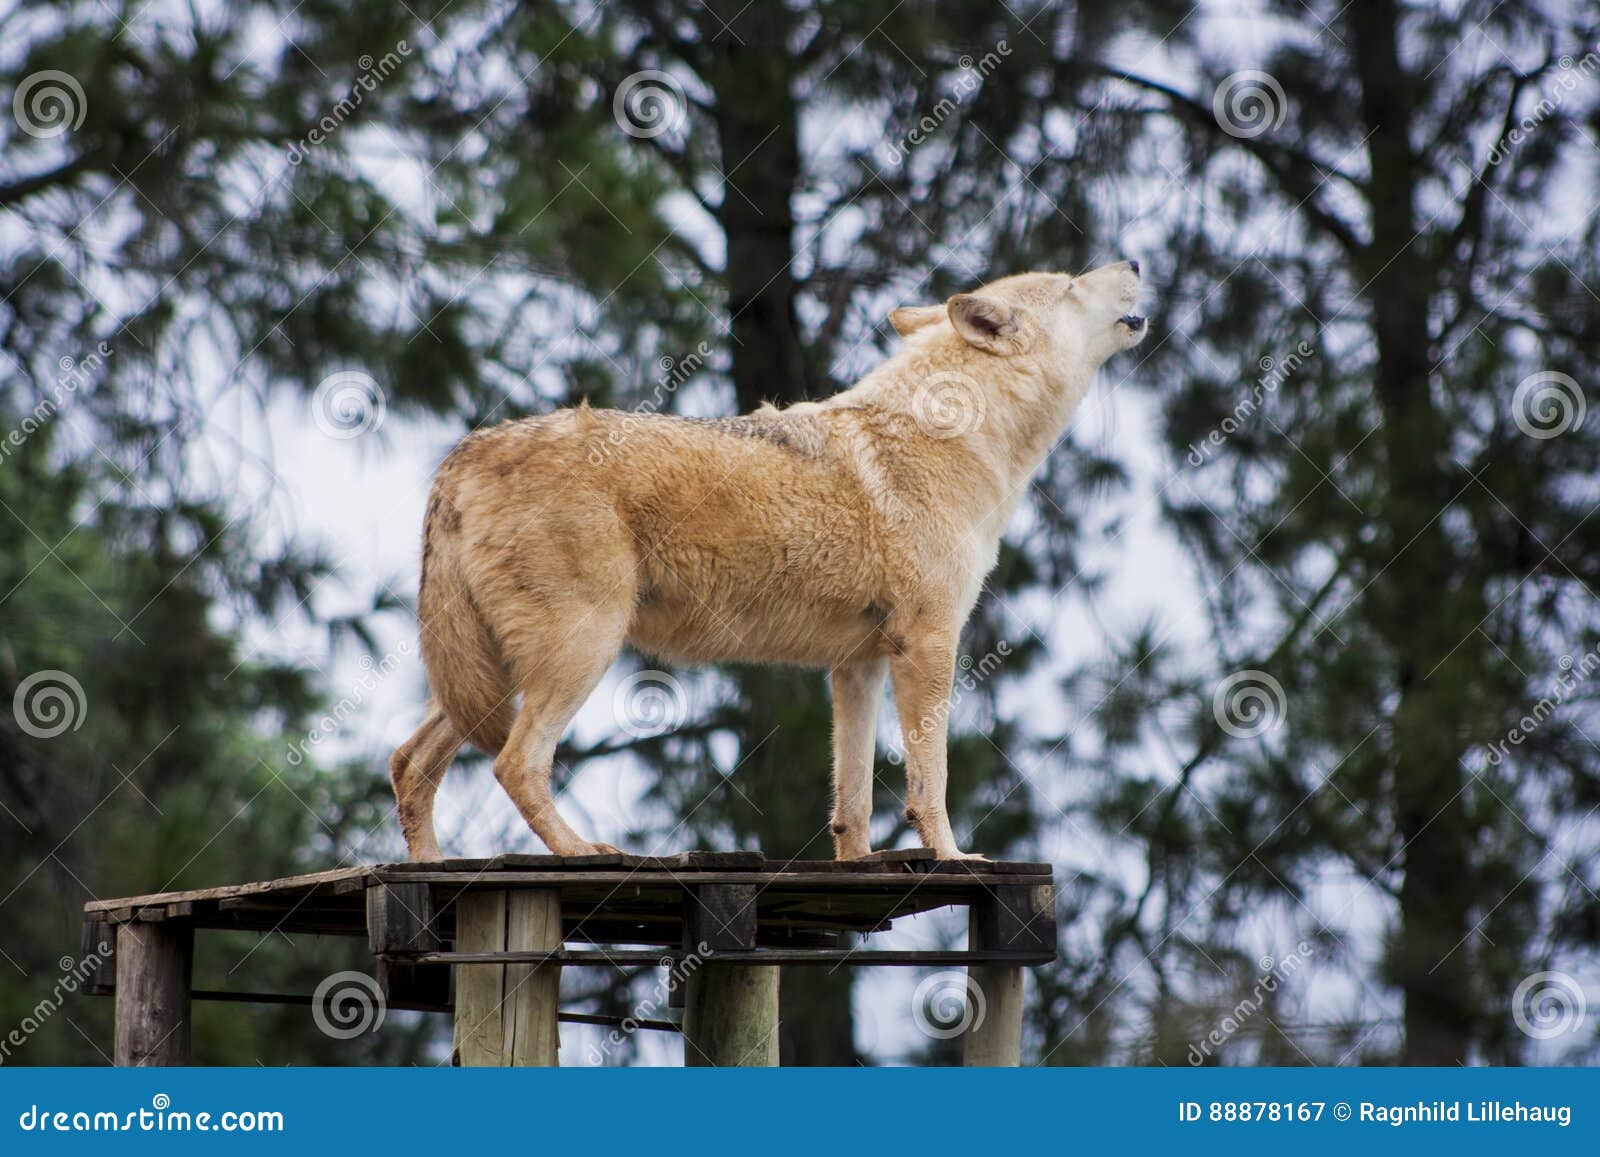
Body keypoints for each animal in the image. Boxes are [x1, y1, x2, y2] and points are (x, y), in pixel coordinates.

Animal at [389, 261, 1147, 861]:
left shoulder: (860, 665)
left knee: (409, 762)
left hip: (490, 677)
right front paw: (954, 858)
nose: (1135, 261)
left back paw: (429, 875)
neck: (951, 435)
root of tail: (461, 458)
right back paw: (583, 852)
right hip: (579, 652)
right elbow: (930, 781)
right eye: (1070, 284)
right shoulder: (930, 642)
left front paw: (860, 868)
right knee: (516, 763)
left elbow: (854, 804)